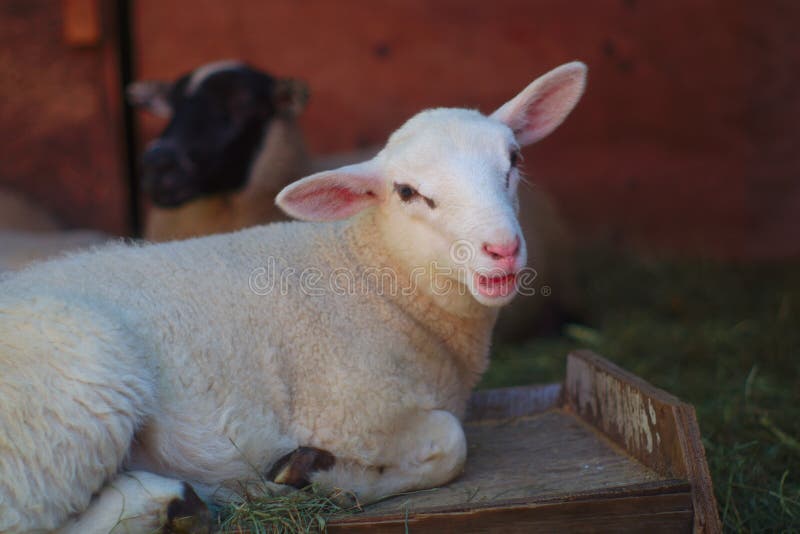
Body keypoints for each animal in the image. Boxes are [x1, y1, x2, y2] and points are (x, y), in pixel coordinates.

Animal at [0, 62, 587, 533]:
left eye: (513, 160)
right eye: (407, 192)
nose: (502, 249)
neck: (372, 273)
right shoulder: (352, 410)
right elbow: (451, 443)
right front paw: (321, 476)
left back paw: (172, 502)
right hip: (69, 403)